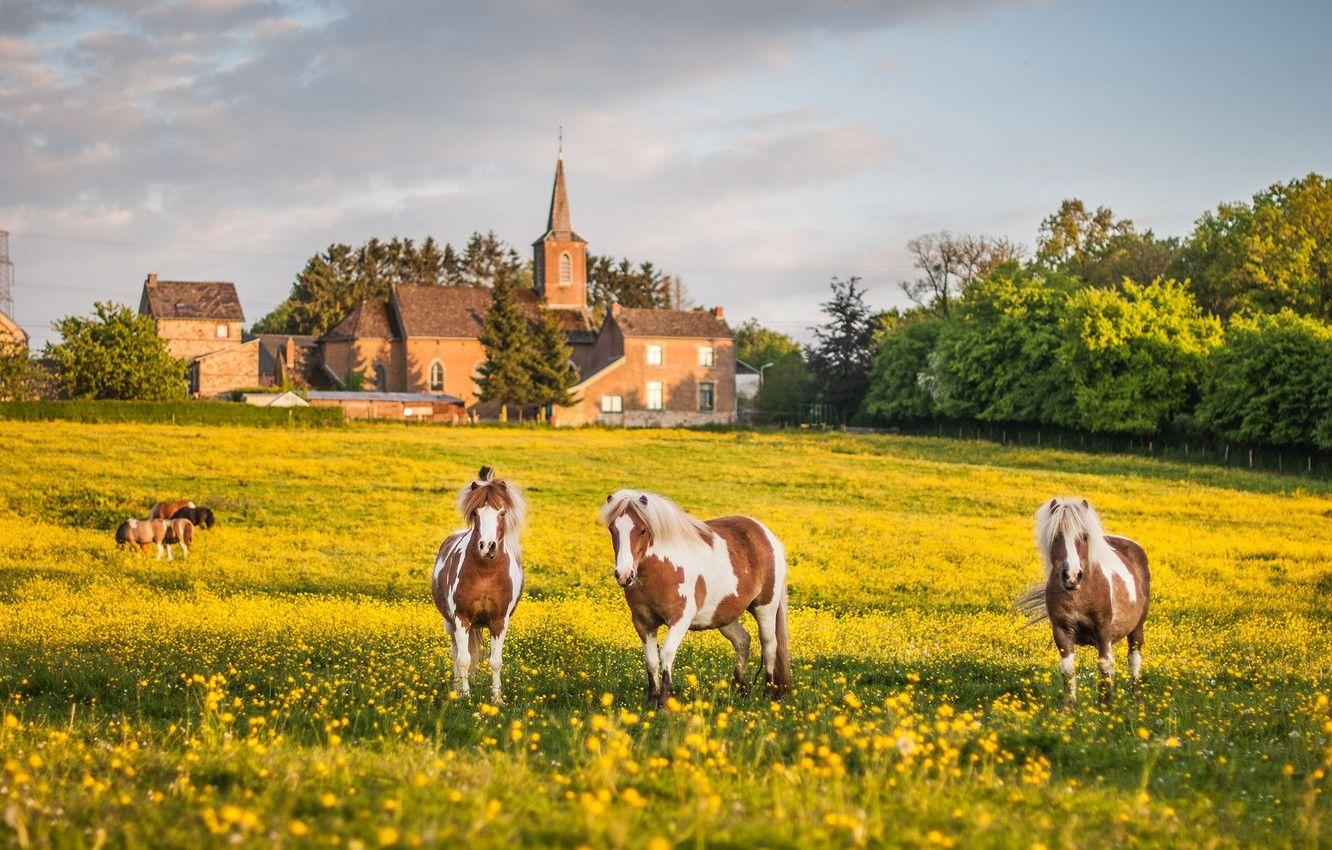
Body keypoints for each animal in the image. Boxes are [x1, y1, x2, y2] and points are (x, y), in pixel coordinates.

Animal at [429, 466, 526, 700]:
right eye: (475, 513)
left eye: (502, 513)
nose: (487, 546)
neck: (485, 573)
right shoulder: (461, 618)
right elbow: (463, 659)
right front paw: (465, 695)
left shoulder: (499, 622)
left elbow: (496, 662)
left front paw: (497, 698)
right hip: (450, 624)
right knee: (455, 653)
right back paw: (456, 688)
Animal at [600, 490, 791, 706]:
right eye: (612, 529)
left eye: (642, 530)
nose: (624, 575)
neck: (663, 569)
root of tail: (767, 535)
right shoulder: (643, 622)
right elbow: (651, 660)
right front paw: (653, 699)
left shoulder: (680, 619)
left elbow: (666, 653)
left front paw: (665, 699)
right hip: (724, 615)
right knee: (743, 641)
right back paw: (738, 691)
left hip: (765, 608)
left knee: (769, 645)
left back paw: (768, 694)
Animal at [1016, 497, 1150, 706]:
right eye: (1056, 536)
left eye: (1085, 536)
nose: (1071, 576)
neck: (1079, 594)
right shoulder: (1061, 631)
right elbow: (1068, 668)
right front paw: (1069, 708)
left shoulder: (1103, 629)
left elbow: (1104, 666)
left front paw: (1106, 708)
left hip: (1137, 627)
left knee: (1134, 660)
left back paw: (1138, 701)